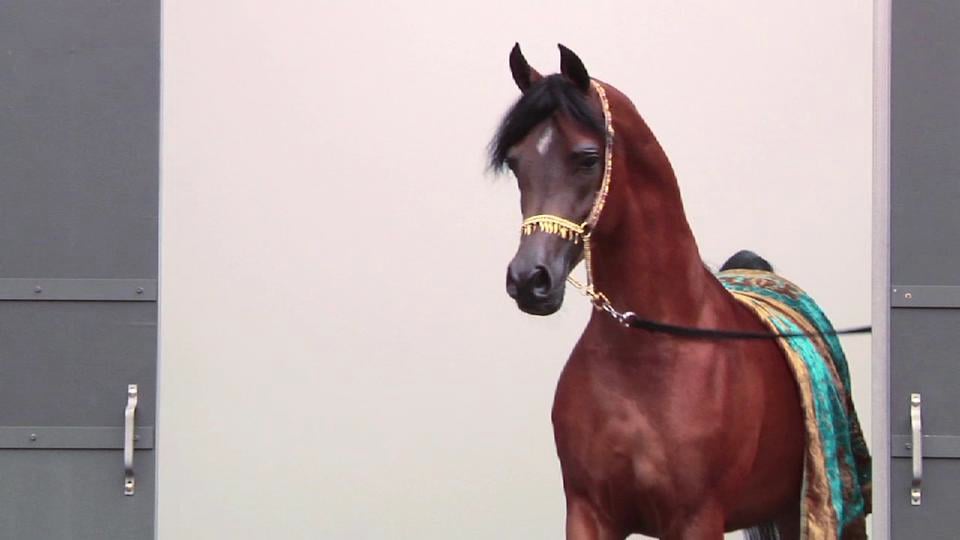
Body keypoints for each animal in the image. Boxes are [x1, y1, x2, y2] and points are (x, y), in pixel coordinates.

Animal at [490, 44, 869, 539]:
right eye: (517, 162)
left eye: (587, 158)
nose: (529, 280)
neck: (650, 352)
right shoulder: (589, 512)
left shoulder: (696, 518)